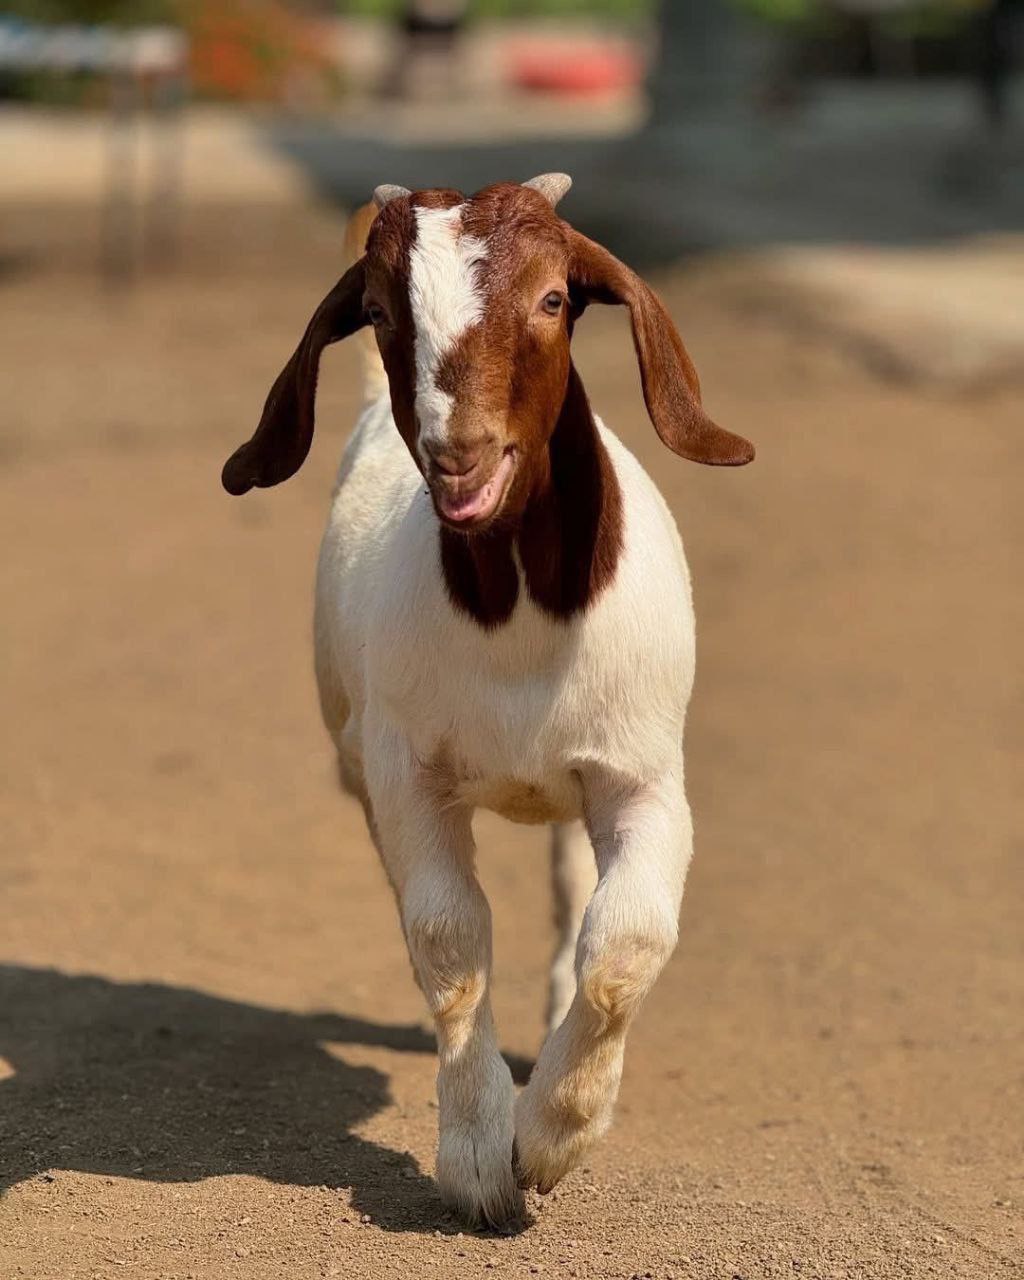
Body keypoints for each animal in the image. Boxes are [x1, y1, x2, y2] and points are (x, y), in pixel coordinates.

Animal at [222, 175, 754, 1231]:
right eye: (379, 311)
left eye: (554, 298)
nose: (458, 455)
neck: (514, 615)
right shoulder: (407, 777)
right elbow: (449, 939)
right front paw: (478, 1159)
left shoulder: (643, 777)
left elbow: (624, 945)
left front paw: (553, 1136)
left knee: (574, 892)